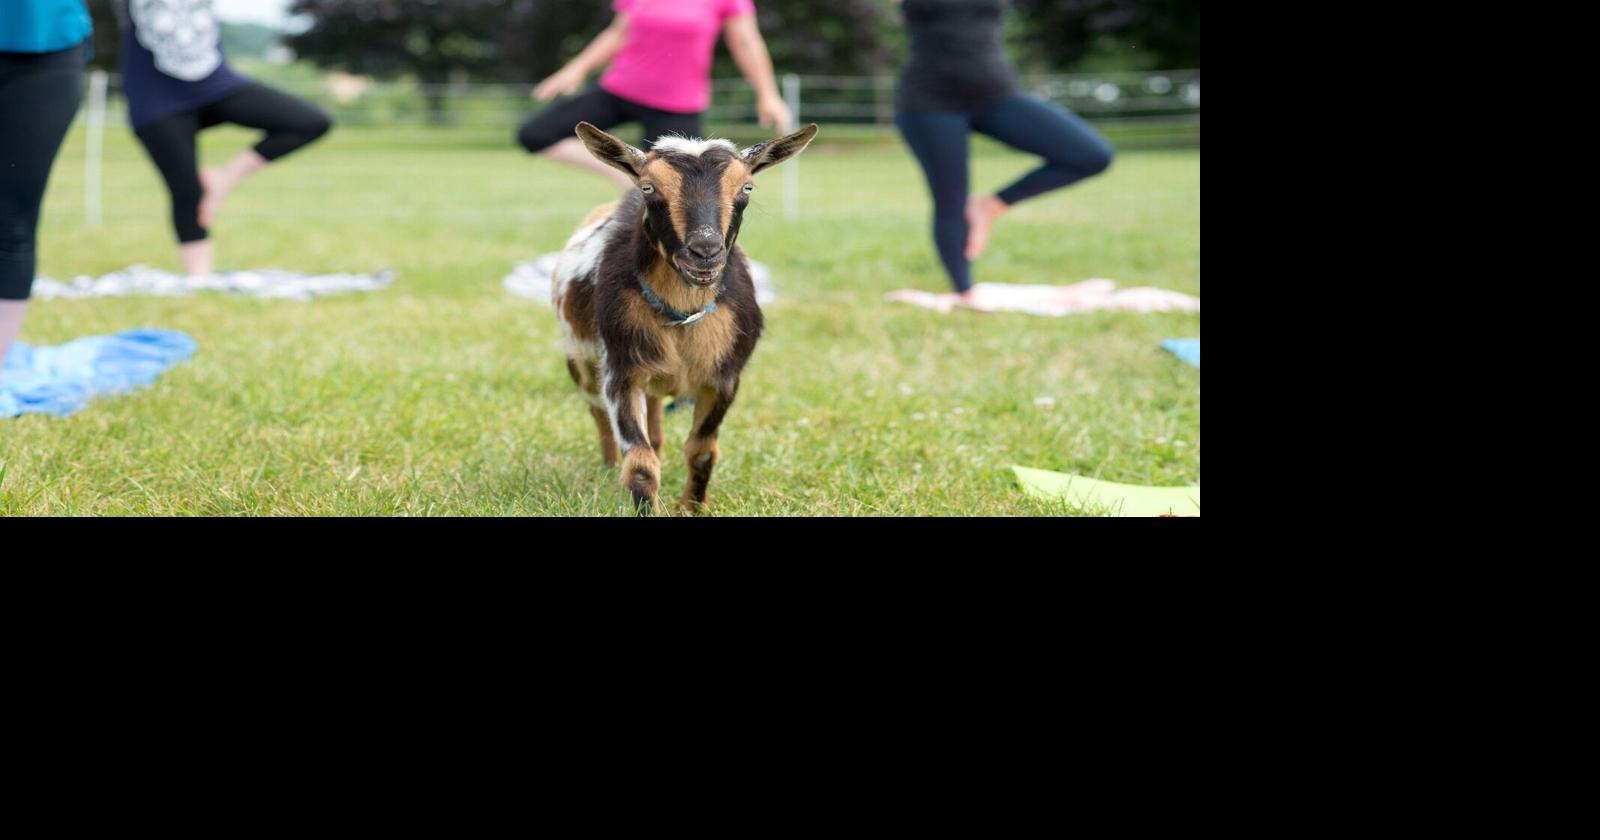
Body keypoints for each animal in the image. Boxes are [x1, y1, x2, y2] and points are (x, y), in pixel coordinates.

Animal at [551, 121, 819, 515]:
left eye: (747, 187)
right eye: (648, 187)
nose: (705, 251)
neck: (683, 316)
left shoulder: (723, 379)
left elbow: (702, 450)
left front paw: (692, 507)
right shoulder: (621, 372)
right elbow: (641, 463)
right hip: (581, 359)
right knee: (598, 413)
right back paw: (608, 467)